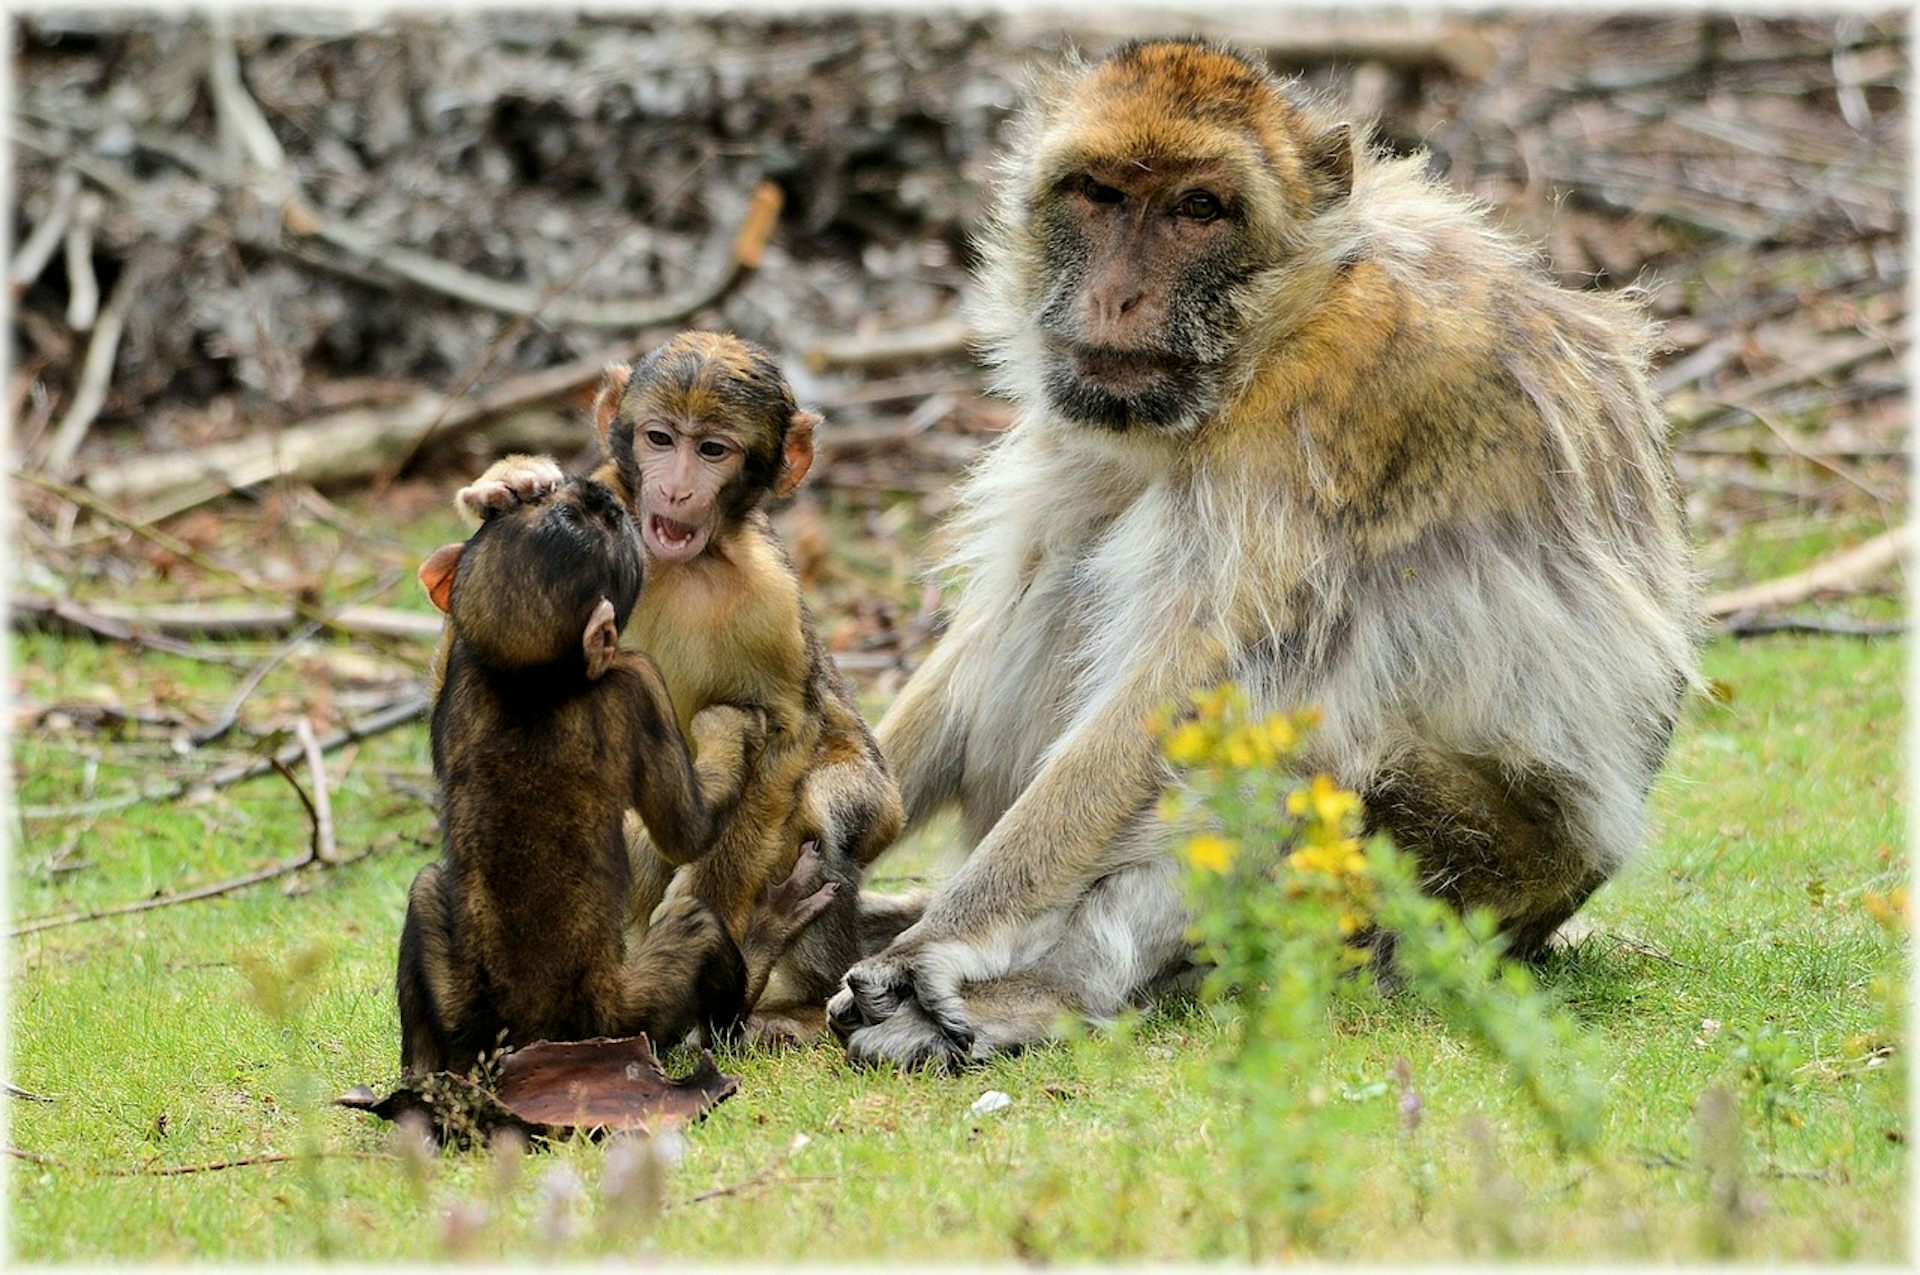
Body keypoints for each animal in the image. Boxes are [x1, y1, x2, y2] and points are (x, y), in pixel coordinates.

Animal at [397, 472, 840, 1077]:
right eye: (607, 527)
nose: (600, 495)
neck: (531, 680)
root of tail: (522, 1040)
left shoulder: (469, 677)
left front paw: (502, 490)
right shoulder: (637, 682)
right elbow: (687, 830)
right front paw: (727, 726)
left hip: (468, 1016)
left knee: (426, 887)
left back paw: (420, 1070)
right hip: (618, 1018)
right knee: (695, 928)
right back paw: (755, 967)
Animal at [451, 332, 908, 1043]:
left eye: (712, 450)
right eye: (661, 439)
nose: (677, 487)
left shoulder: (771, 596)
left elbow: (783, 736)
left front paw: (705, 926)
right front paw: (509, 482)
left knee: (822, 803)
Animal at [825, 38, 1698, 1069]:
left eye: (1200, 209)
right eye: (1100, 194)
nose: (1117, 296)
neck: (1278, 325)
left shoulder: (1326, 410)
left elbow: (1197, 684)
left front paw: (942, 940)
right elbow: (1008, 610)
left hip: (1482, 884)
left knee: (1327, 740)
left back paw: (1054, 991)